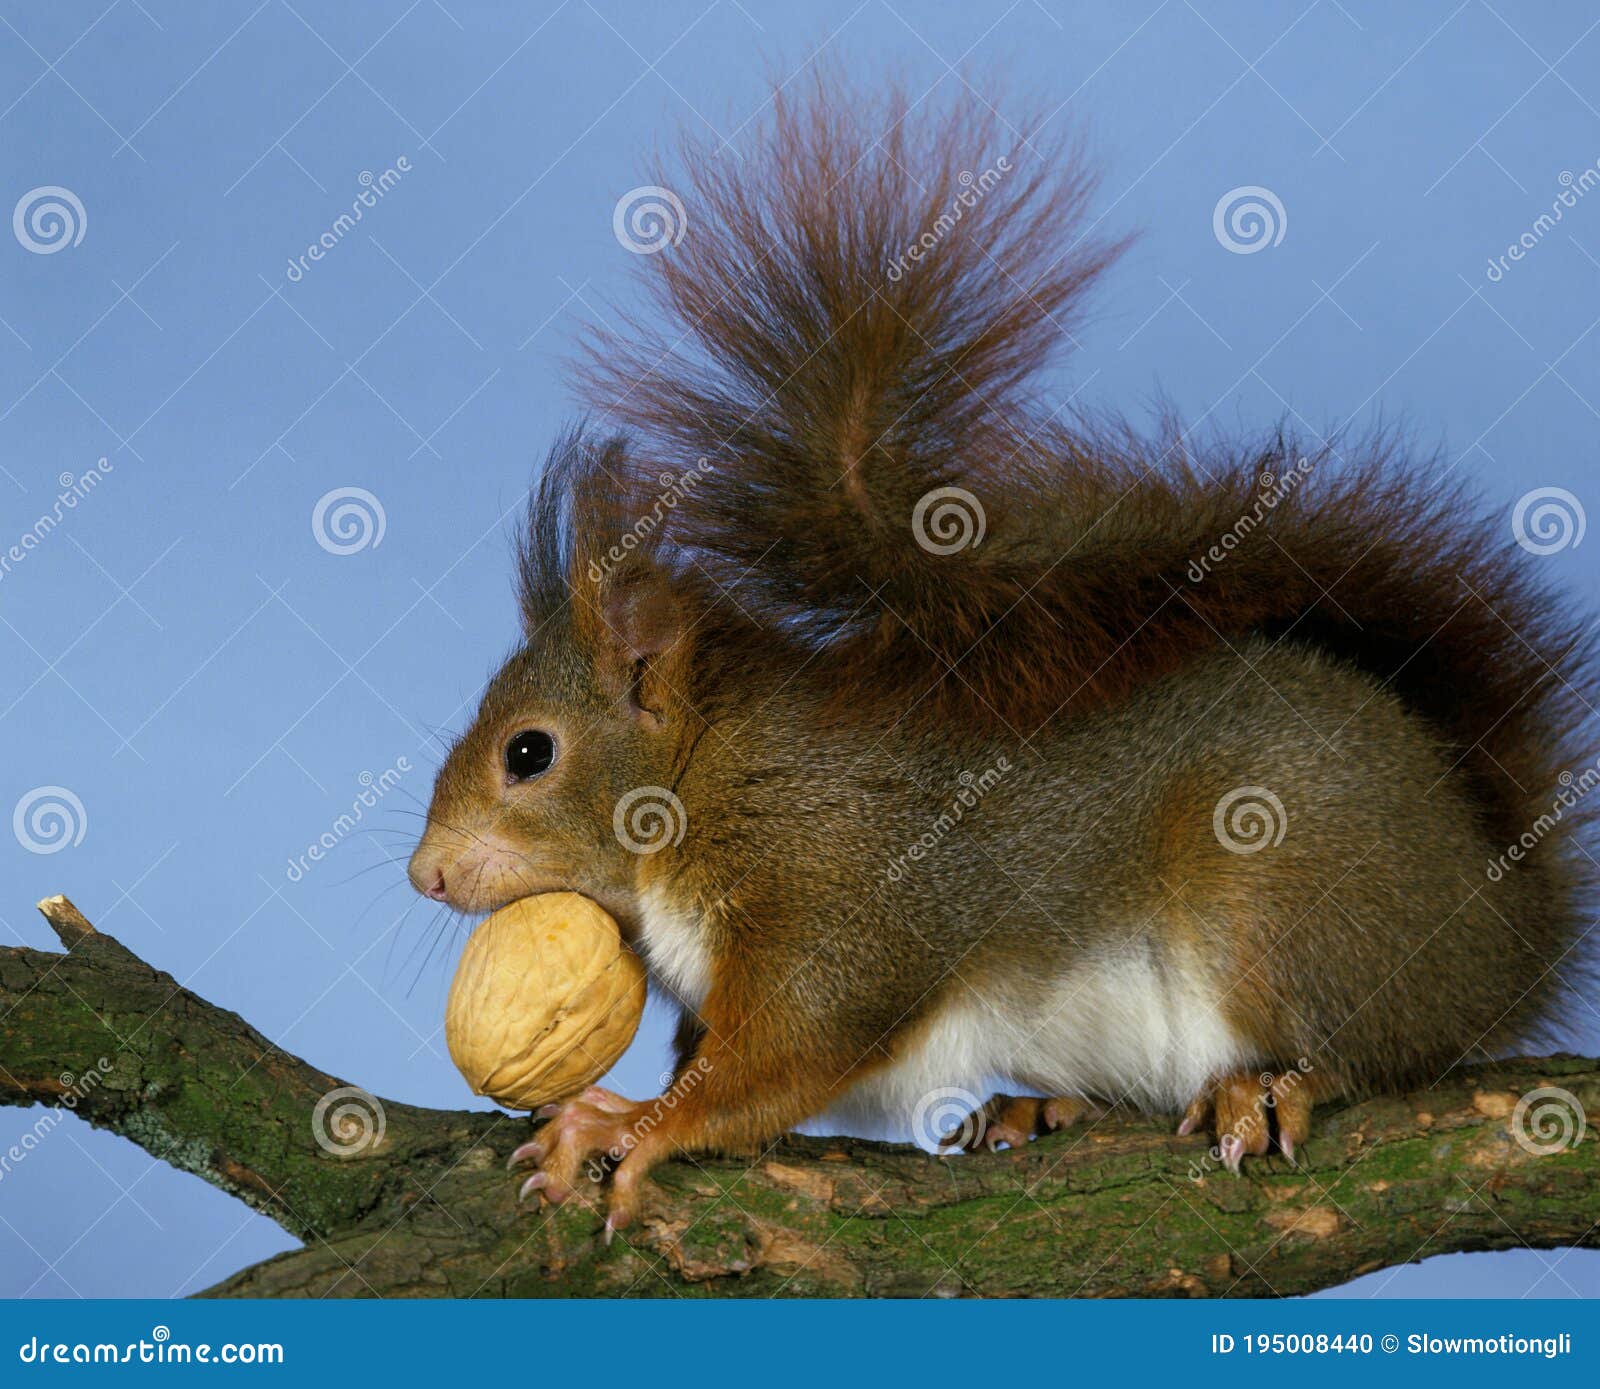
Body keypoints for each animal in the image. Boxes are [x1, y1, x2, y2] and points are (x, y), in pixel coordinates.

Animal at [408, 77, 1597, 1232]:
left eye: (528, 753)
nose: (426, 875)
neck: (705, 775)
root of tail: (1508, 922)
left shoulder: (839, 888)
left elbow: (791, 1051)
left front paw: (630, 1124)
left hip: (1284, 893)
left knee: (1377, 1047)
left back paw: (1275, 1085)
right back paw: (1047, 1104)